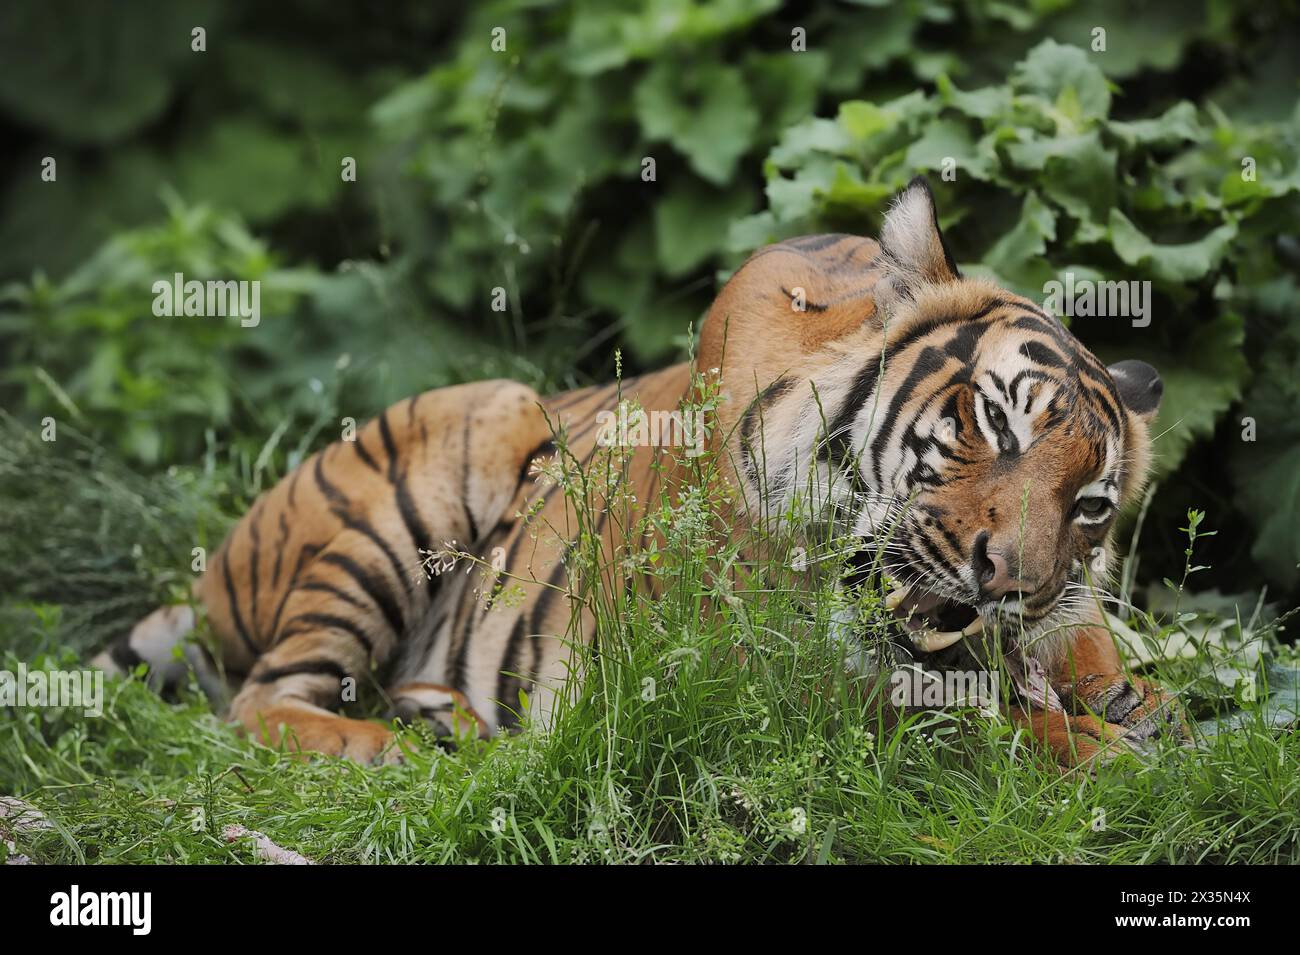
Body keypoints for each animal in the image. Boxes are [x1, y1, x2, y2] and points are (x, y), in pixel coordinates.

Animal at [93, 176, 1184, 767]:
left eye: (1091, 504)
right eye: (994, 421)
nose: (1010, 583)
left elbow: (1075, 649)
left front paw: (1129, 700)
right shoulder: (777, 688)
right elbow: (972, 727)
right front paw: (1104, 754)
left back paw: (444, 720)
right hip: (443, 461)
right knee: (262, 700)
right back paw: (386, 745)